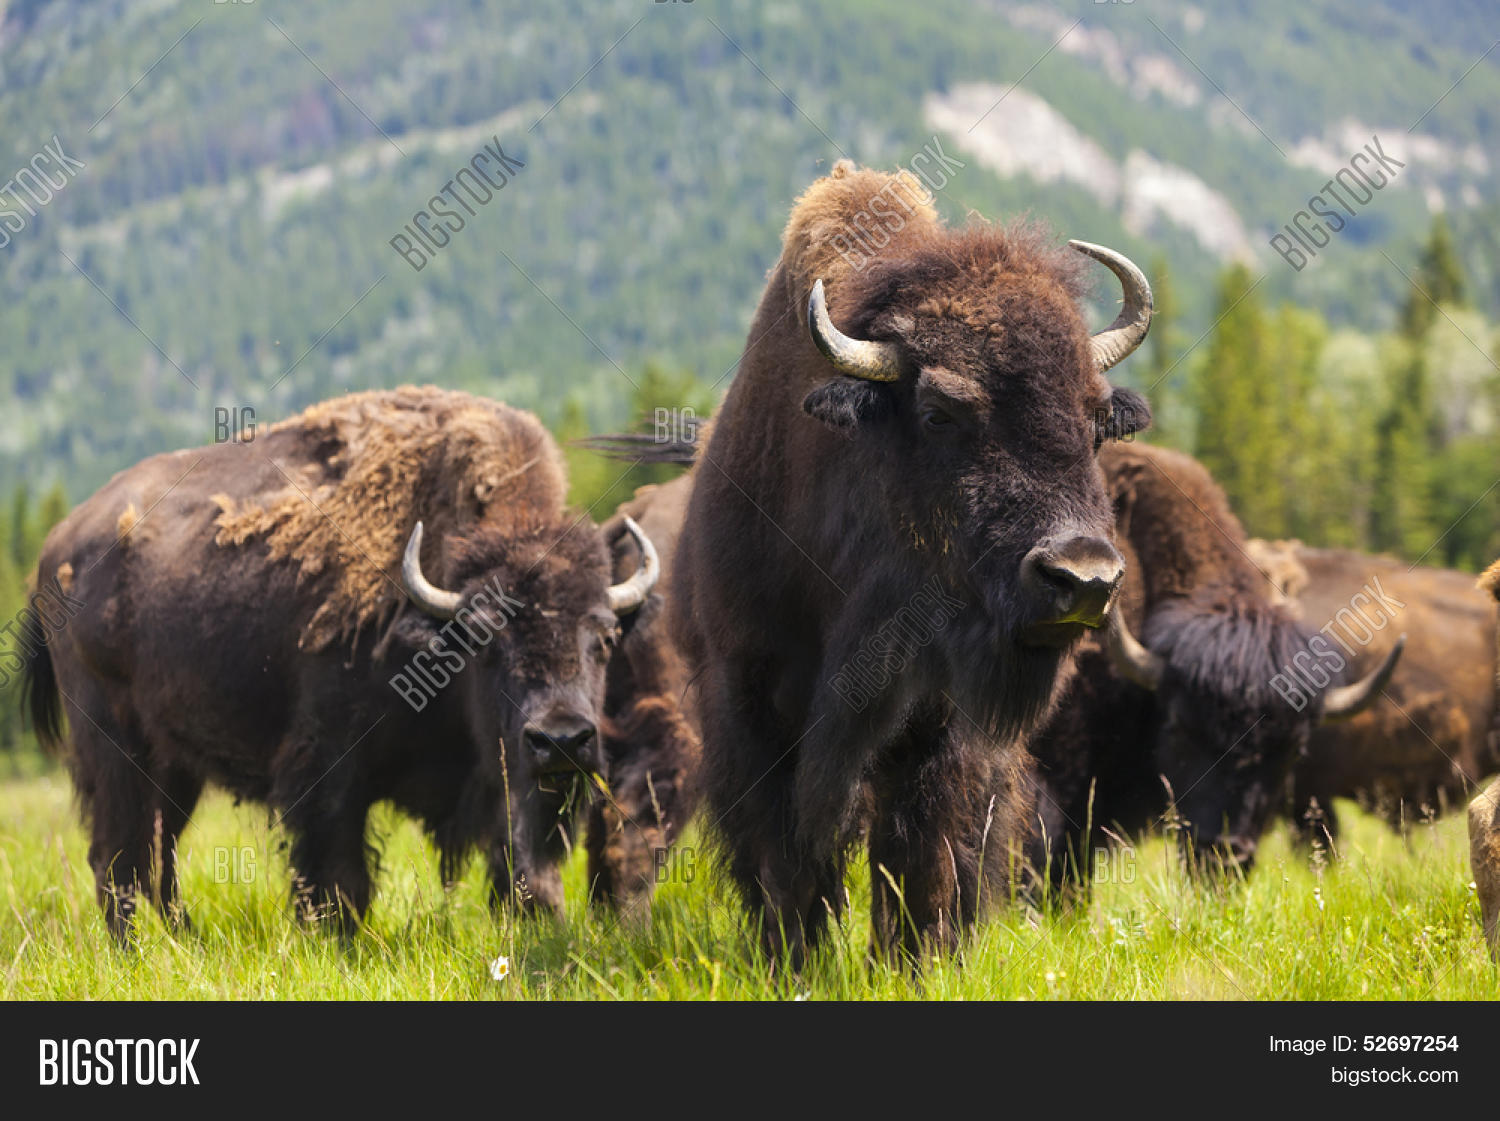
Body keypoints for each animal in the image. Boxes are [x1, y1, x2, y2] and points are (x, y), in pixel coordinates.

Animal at [23, 386, 659, 941]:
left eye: (605, 637)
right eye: (484, 642)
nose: (561, 740)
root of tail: (56, 547)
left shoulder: (505, 783)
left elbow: (523, 868)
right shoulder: (328, 768)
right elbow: (339, 878)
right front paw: (336, 942)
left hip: (175, 767)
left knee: (160, 858)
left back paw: (188, 943)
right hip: (114, 752)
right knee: (118, 860)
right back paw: (133, 952)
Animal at [669, 160, 1155, 963]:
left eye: (1094, 420)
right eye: (938, 413)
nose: (1082, 576)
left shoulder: (936, 722)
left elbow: (918, 851)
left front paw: (914, 962)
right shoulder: (747, 695)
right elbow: (784, 852)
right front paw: (793, 959)